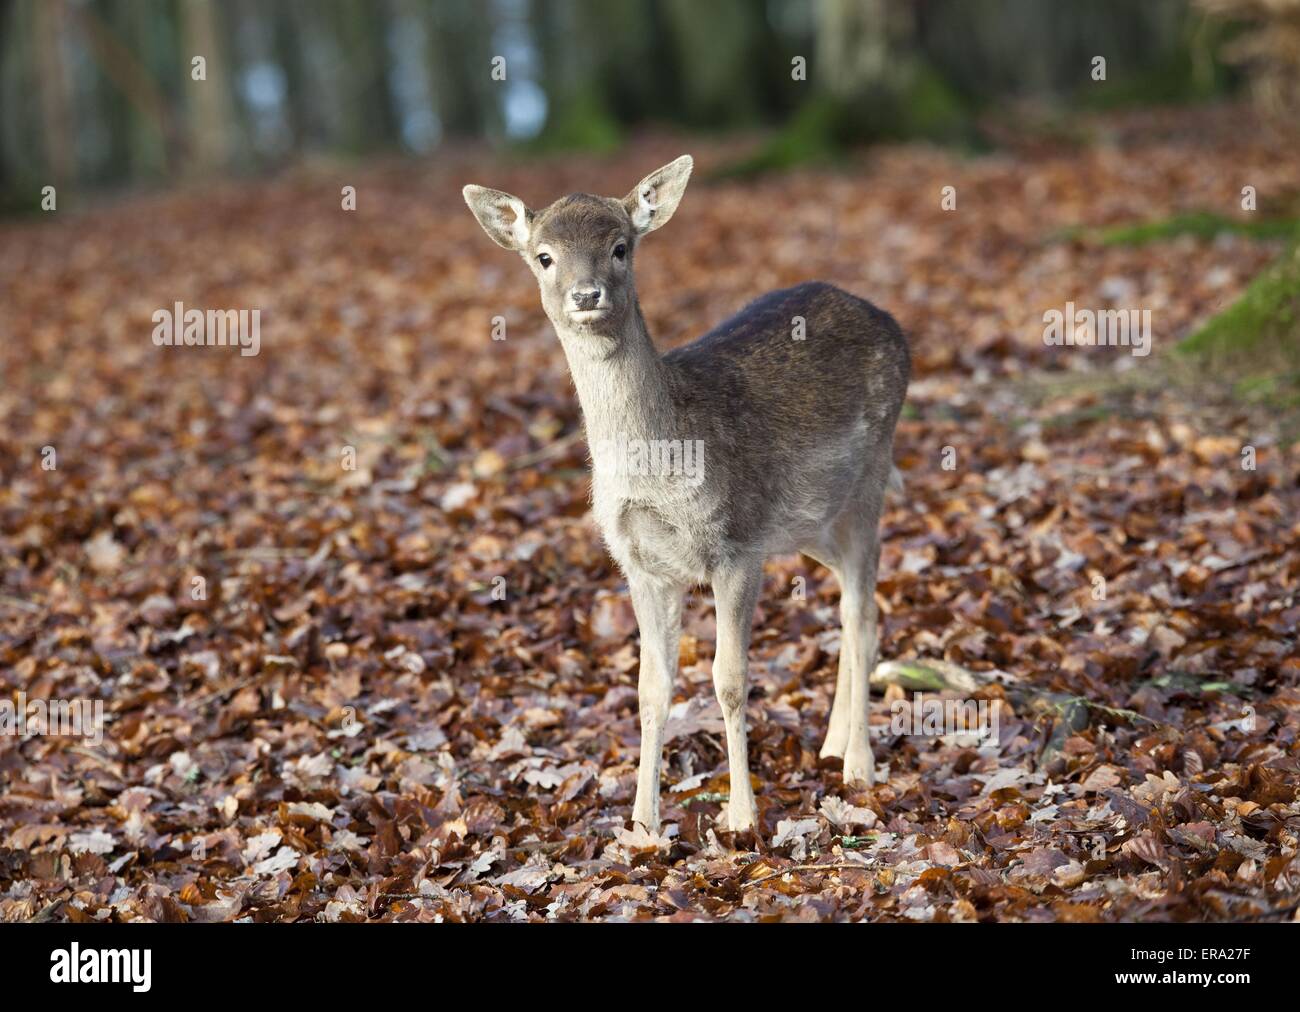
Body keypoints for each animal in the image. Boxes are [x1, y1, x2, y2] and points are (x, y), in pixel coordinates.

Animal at [463, 156, 909, 832]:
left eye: (620, 247)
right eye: (543, 256)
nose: (586, 294)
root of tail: (898, 330)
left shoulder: (736, 544)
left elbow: (729, 679)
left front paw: (742, 816)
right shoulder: (640, 564)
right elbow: (650, 688)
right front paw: (643, 824)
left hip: (871, 477)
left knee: (863, 608)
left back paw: (859, 763)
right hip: (810, 522)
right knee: (847, 602)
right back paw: (833, 743)